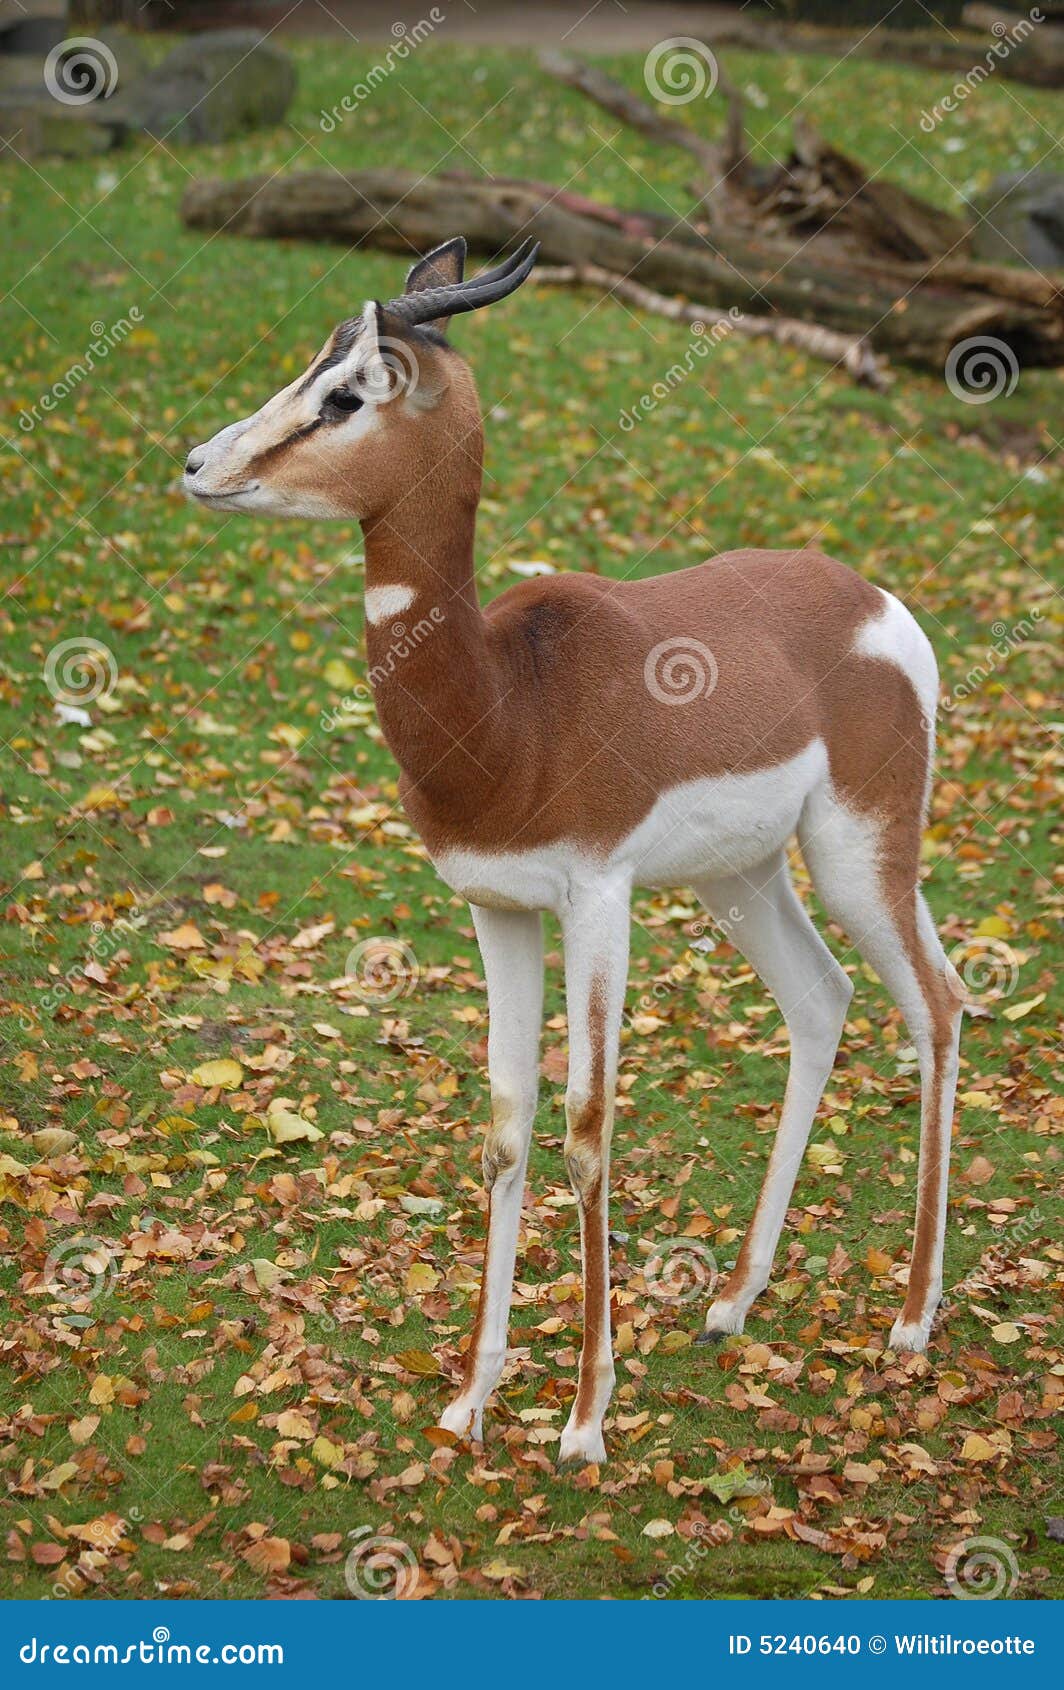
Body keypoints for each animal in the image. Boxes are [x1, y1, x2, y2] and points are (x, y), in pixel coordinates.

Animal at [184, 237, 964, 1465]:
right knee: (823, 1000)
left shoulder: (596, 899)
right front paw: (468, 1401)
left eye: (347, 393)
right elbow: (506, 1129)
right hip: (743, 878)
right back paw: (731, 1301)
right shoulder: (496, 908)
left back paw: (909, 1321)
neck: (514, 704)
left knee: (935, 1005)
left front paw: (585, 1422)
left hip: (857, 852)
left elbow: (587, 1130)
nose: (199, 464)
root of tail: (876, 601)